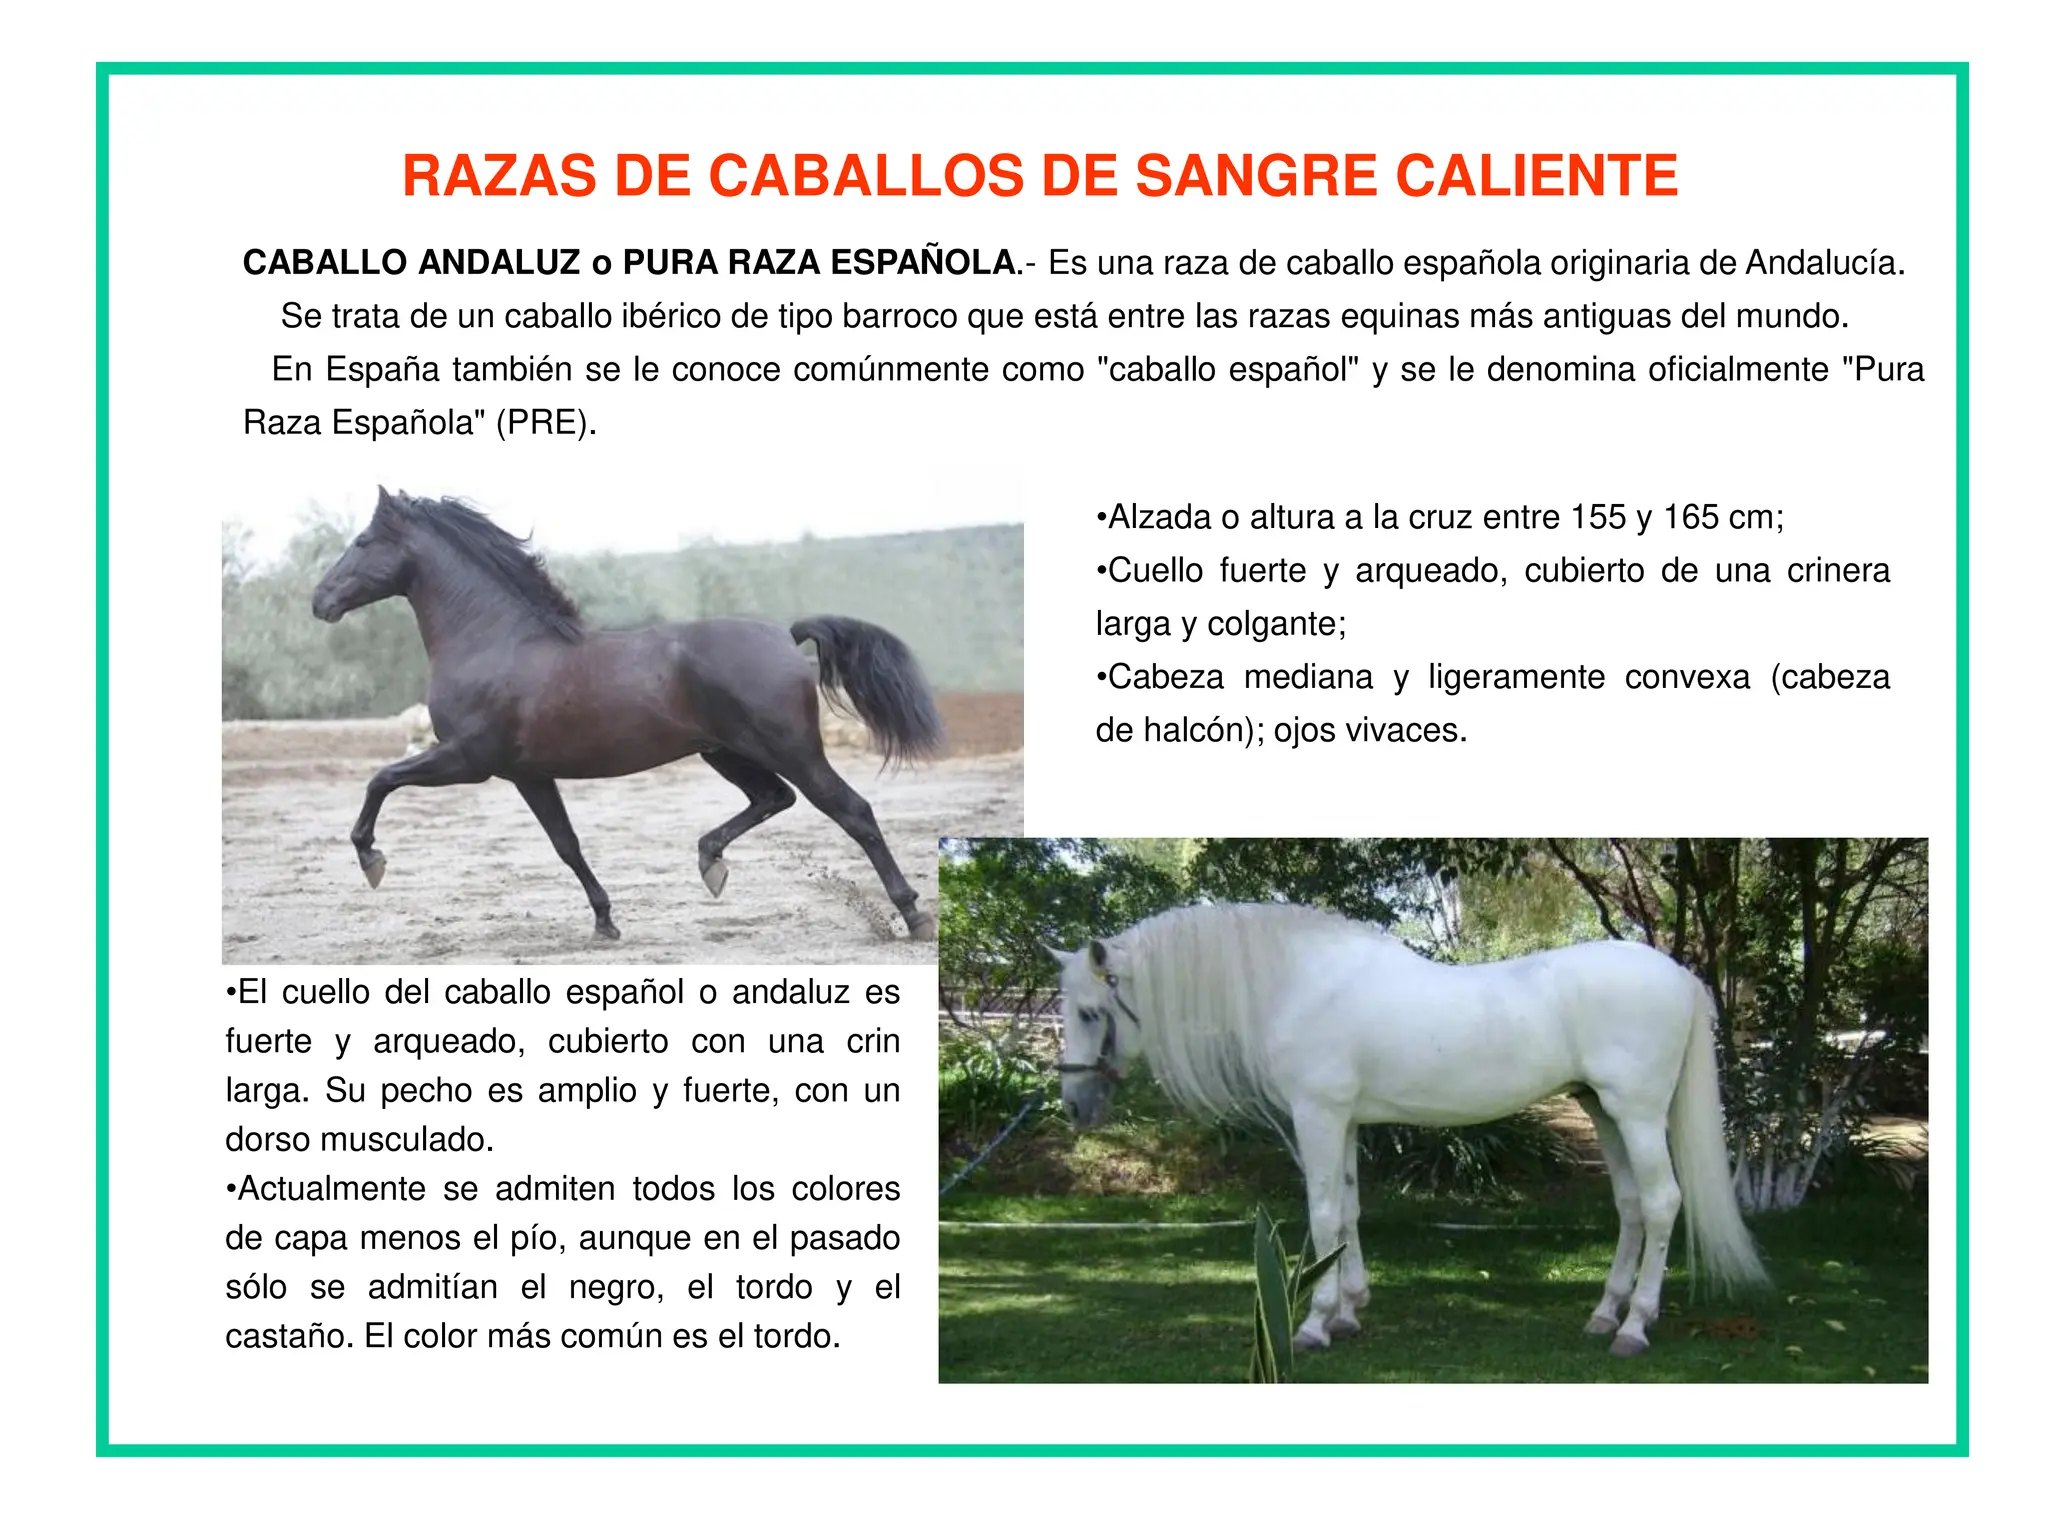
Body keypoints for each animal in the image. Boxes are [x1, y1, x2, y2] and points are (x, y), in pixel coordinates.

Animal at [310, 487, 943, 941]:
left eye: (363, 541)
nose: (320, 600)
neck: (495, 642)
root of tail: (785, 636)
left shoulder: (468, 760)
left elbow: (381, 779)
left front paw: (371, 859)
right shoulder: (528, 775)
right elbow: (567, 845)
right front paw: (604, 922)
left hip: (791, 749)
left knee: (851, 811)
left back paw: (913, 917)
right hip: (725, 752)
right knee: (773, 798)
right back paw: (710, 862)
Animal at [1049, 903, 1767, 1358]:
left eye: (1088, 1011)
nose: (1073, 1106)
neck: (1298, 983)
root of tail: (1682, 977)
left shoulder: (1317, 1115)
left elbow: (1322, 1213)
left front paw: (1314, 1324)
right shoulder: (1340, 1120)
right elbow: (1347, 1212)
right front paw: (1347, 1312)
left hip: (1637, 1112)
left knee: (1663, 1203)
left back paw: (1634, 1328)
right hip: (1603, 1112)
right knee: (1631, 1207)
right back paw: (1604, 1314)